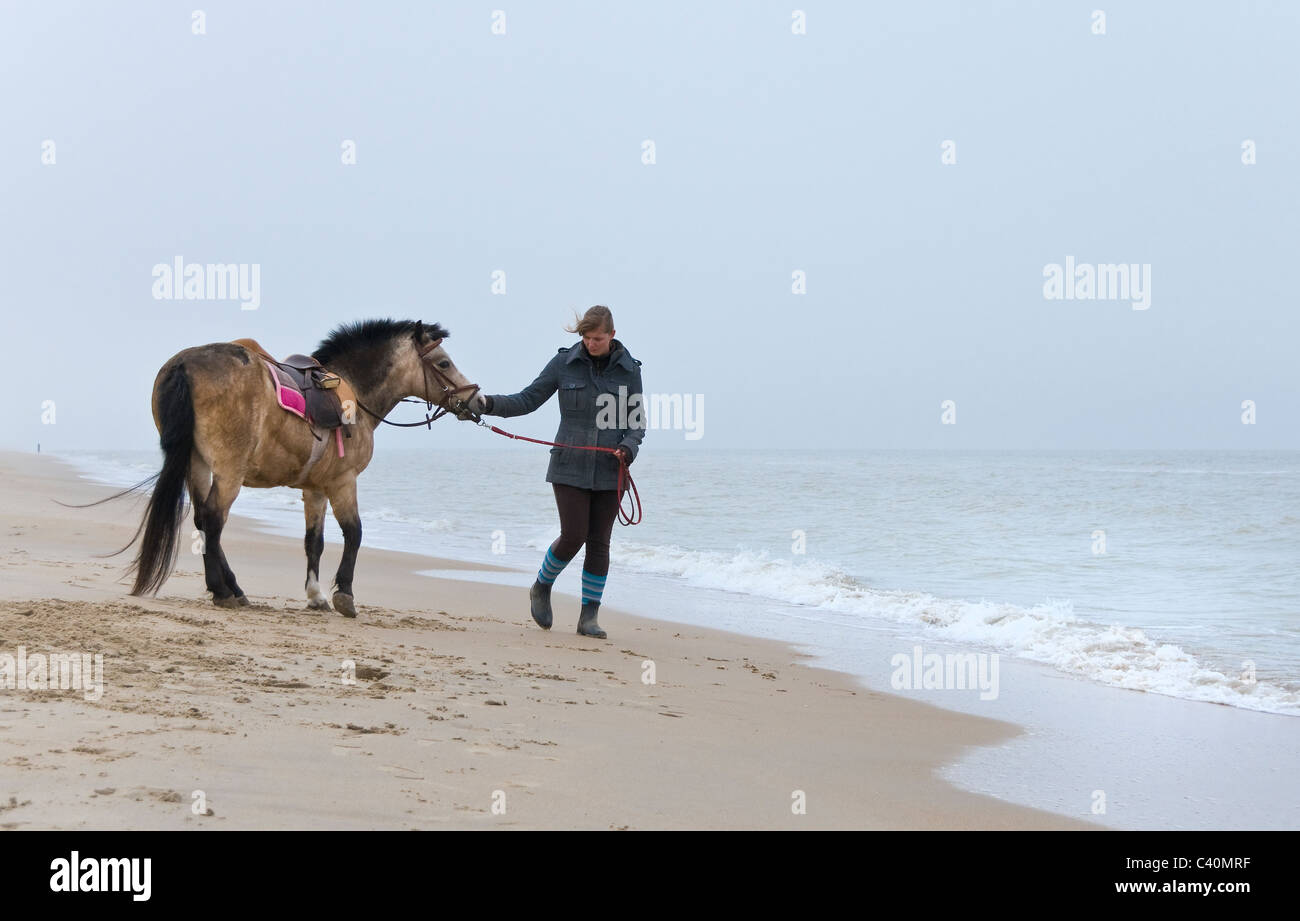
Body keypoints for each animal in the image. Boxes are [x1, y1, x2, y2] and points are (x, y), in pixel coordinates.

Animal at [125, 318, 484, 616]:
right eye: (444, 363)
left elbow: (315, 541)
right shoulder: (343, 482)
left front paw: (315, 595)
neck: (353, 393)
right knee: (213, 520)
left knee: (203, 519)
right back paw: (223, 591)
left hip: (197, 464)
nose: (478, 400)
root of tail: (184, 364)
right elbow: (354, 532)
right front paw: (344, 595)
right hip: (229, 471)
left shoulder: (315, 489)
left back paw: (233, 588)